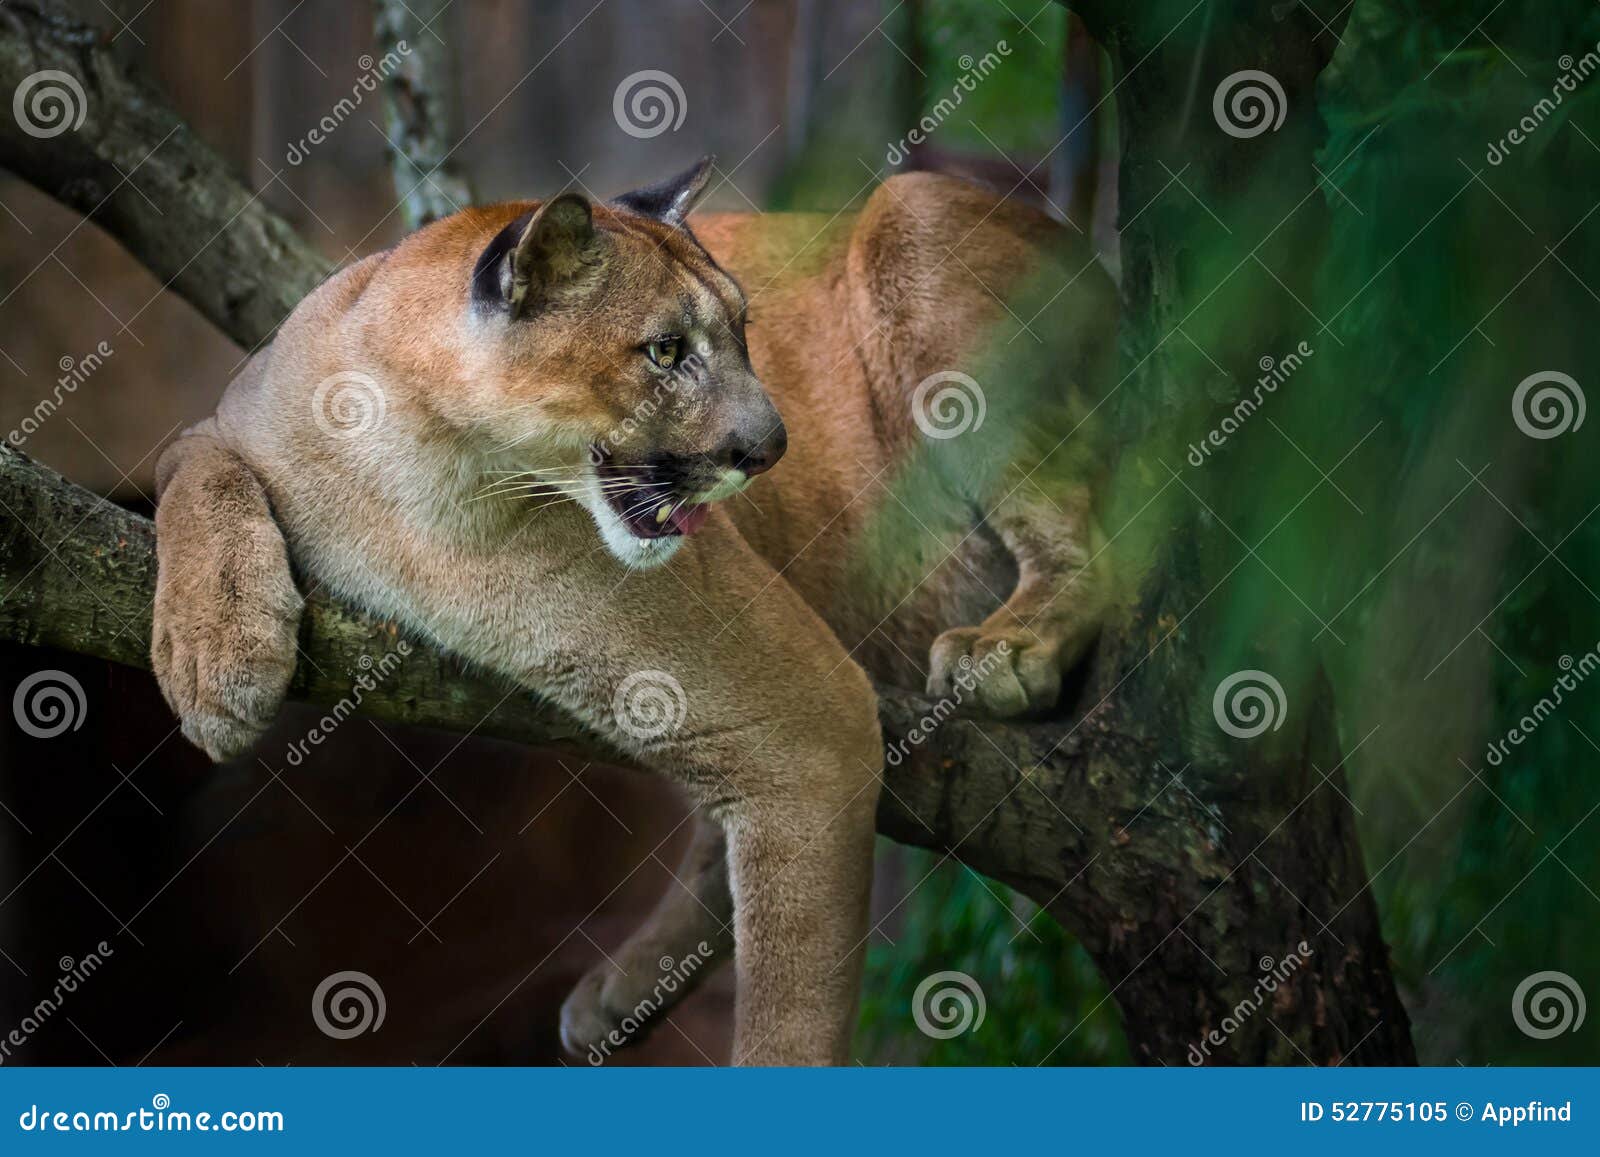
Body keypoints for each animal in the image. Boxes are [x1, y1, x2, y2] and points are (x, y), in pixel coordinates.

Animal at [151, 158, 1115, 1065]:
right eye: (664, 351)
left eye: (745, 334)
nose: (772, 446)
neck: (431, 476)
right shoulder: (220, 425)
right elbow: (193, 478)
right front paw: (215, 659)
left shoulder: (814, 715)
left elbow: (792, 992)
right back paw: (623, 993)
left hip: (912, 216)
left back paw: (1009, 647)